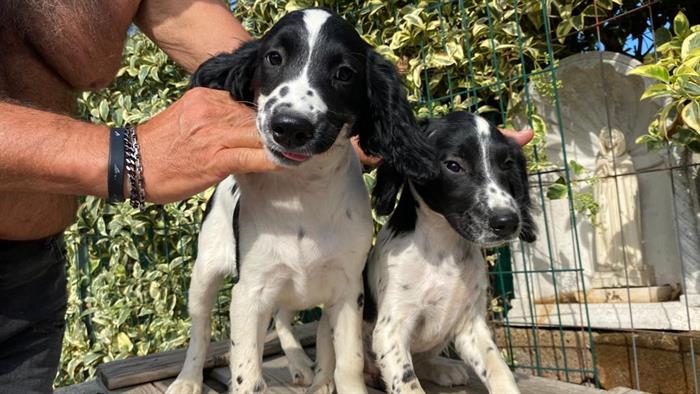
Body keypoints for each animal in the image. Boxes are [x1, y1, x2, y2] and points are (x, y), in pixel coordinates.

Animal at [167, 8, 434, 394]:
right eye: (273, 58)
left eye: (344, 74)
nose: (291, 126)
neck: (303, 194)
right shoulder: (249, 292)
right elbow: (246, 371)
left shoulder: (348, 291)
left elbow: (349, 363)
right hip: (204, 274)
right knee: (200, 329)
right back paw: (187, 380)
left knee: (281, 319)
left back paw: (297, 363)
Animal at [360, 111, 536, 394]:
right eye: (454, 165)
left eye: (507, 164)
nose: (508, 221)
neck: (444, 250)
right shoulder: (391, 330)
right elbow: (408, 382)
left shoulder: (471, 325)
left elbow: (499, 369)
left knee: (423, 361)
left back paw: (443, 368)